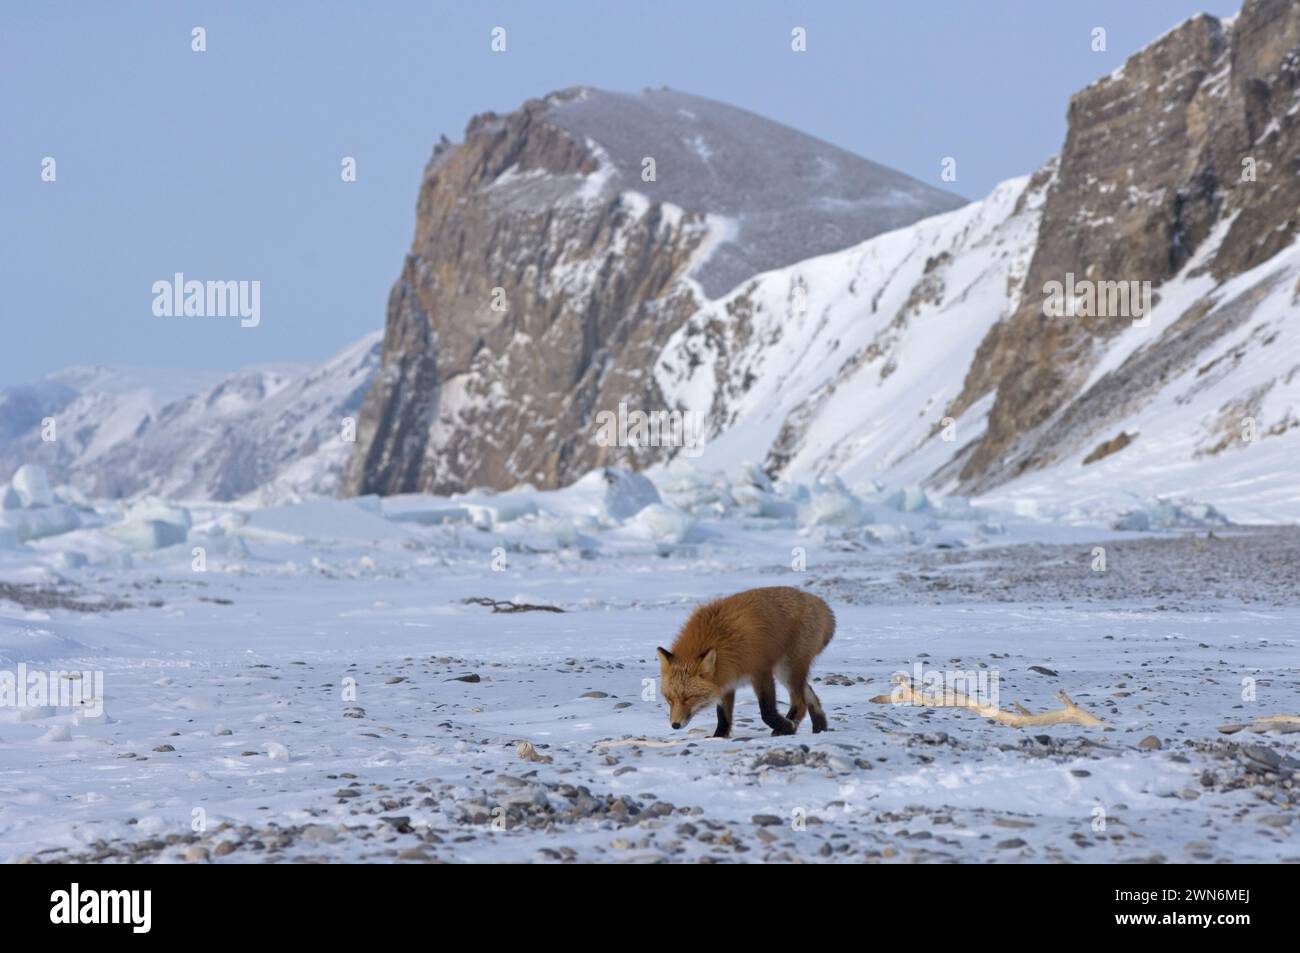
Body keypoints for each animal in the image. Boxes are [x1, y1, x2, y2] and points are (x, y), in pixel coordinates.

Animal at [656, 586, 835, 738]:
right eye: (669, 699)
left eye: (689, 697)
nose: (675, 725)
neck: (722, 642)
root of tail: (817, 601)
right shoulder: (726, 681)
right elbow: (723, 716)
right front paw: (719, 737)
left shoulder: (761, 672)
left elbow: (767, 712)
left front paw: (786, 726)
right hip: (785, 672)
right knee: (810, 695)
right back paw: (819, 727)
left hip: (787, 669)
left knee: (800, 703)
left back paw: (788, 727)